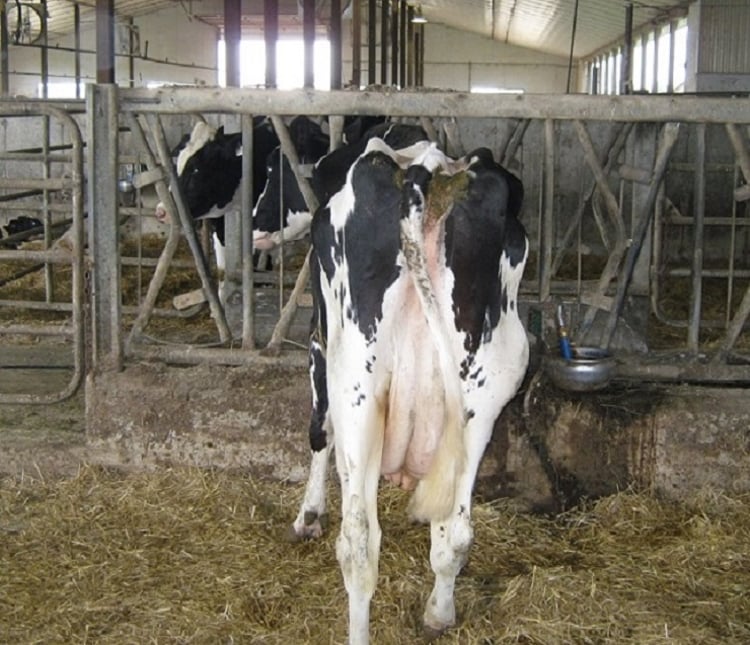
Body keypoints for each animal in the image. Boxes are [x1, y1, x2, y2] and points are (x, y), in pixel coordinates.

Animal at [290, 134, 529, 643]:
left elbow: (319, 431)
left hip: (354, 380)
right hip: (485, 389)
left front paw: (308, 515)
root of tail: (424, 170)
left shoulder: (317, 343)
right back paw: (439, 613)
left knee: (358, 541)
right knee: (456, 531)